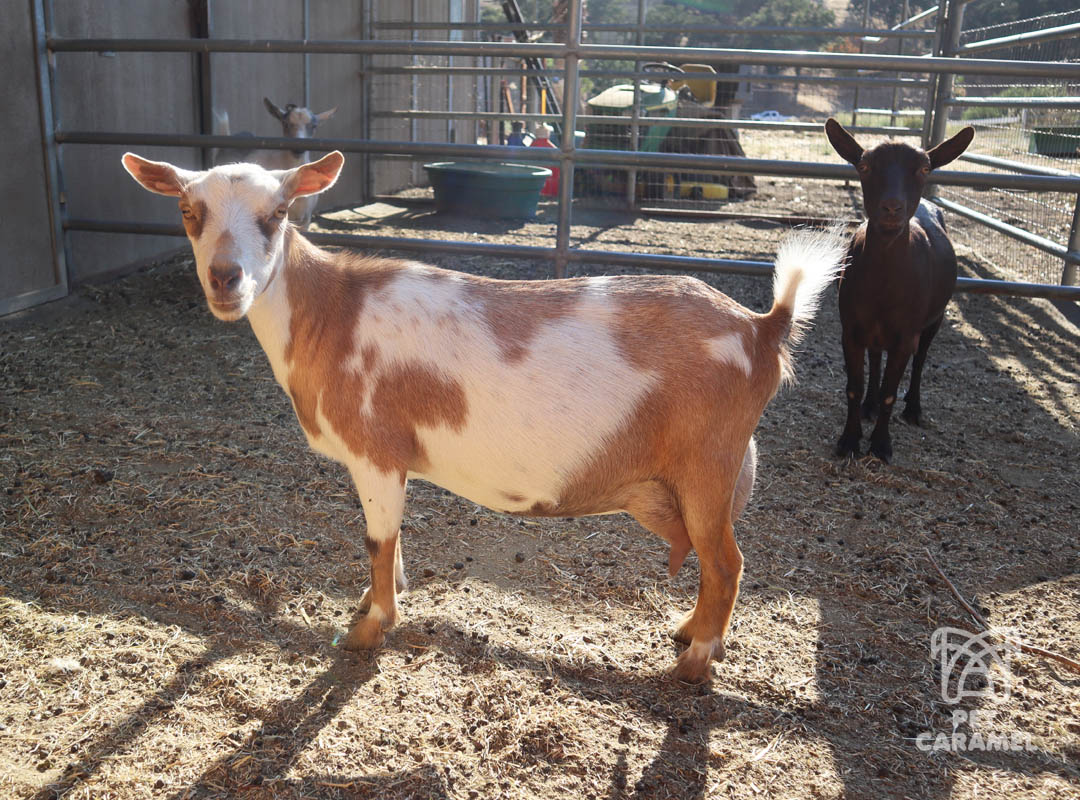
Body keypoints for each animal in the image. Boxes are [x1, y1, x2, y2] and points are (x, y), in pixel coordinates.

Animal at [121, 150, 844, 683]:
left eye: (276, 213)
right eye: (188, 210)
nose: (226, 279)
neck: (329, 313)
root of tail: (763, 327)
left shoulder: (376, 449)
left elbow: (377, 542)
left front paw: (368, 629)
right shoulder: (389, 465)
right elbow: (393, 542)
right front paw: (375, 605)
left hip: (706, 465)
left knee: (727, 564)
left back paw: (693, 663)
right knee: (714, 559)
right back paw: (692, 634)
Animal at [825, 118, 974, 463]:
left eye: (924, 168)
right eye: (864, 166)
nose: (892, 207)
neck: (884, 284)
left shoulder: (906, 334)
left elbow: (892, 393)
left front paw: (881, 445)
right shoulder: (850, 329)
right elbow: (853, 386)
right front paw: (849, 440)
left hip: (935, 319)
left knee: (920, 361)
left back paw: (914, 409)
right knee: (877, 356)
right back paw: (869, 405)